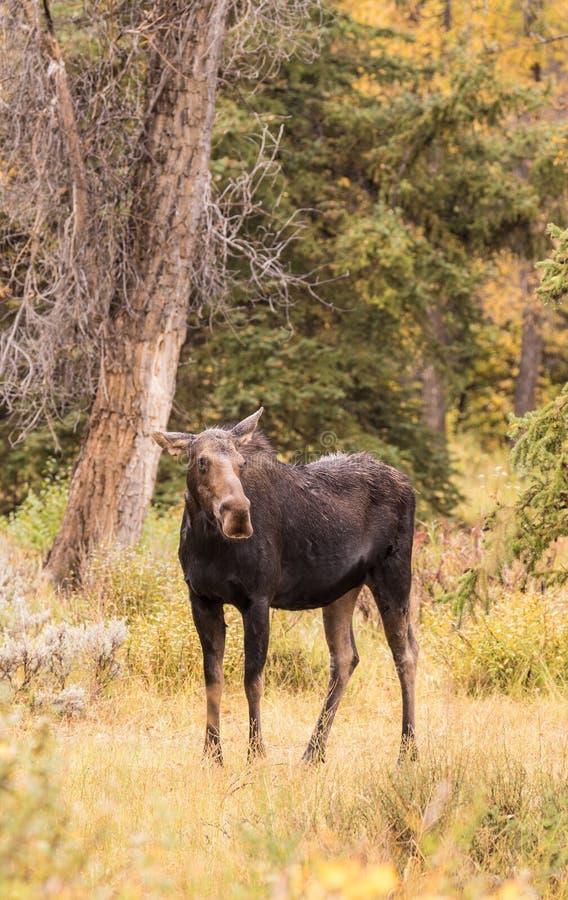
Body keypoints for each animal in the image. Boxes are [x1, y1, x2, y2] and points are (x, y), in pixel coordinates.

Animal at [153, 408, 418, 764]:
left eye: (241, 462)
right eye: (202, 461)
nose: (238, 514)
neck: (209, 543)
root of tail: (409, 485)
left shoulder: (258, 598)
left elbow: (252, 680)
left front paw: (255, 754)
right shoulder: (201, 598)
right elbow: (213, 680)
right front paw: (212, 755)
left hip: (394, 573)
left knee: (405, 654)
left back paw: (408, 751)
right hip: (342, 589)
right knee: (345, 657)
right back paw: (314, 752)